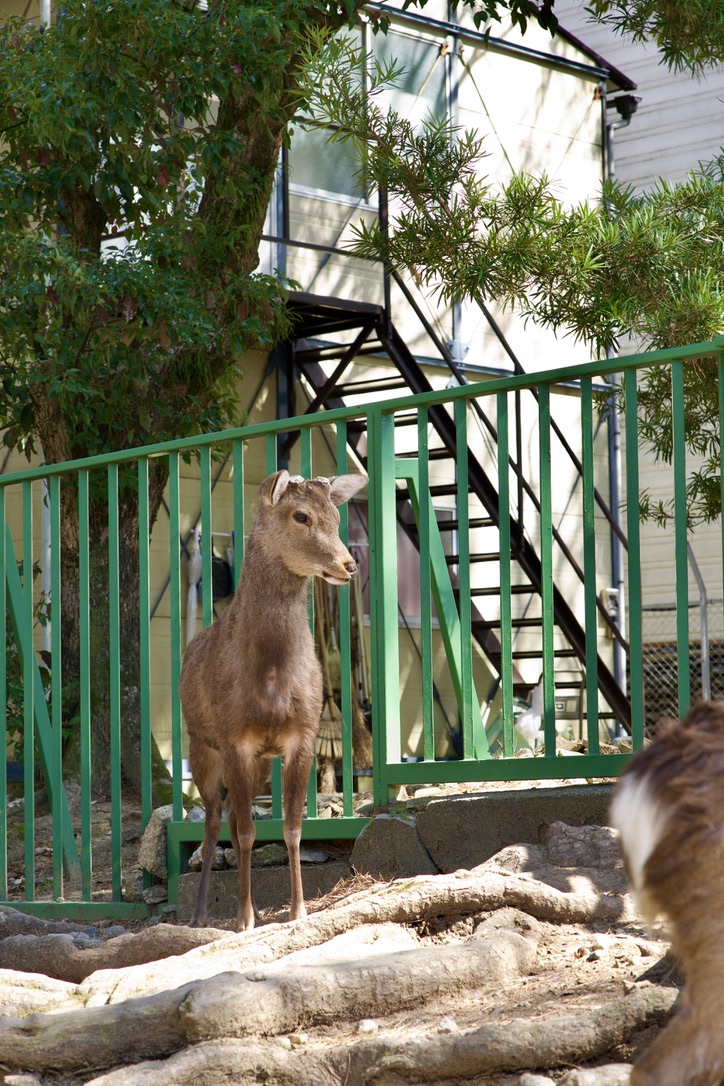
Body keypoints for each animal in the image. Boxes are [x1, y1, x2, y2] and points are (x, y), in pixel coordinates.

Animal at [179, 468, 367, 930]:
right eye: (300, 515)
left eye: (336, 514)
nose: (349, 564)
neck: (271, 677)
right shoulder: (234, 738)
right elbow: (248, 831)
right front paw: (245, 919)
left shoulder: (303, 733)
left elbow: (292, 827)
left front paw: (297, 910)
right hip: (200, 746)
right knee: (214, 822)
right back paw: (201, 913)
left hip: (260, 762)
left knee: (230, 816)